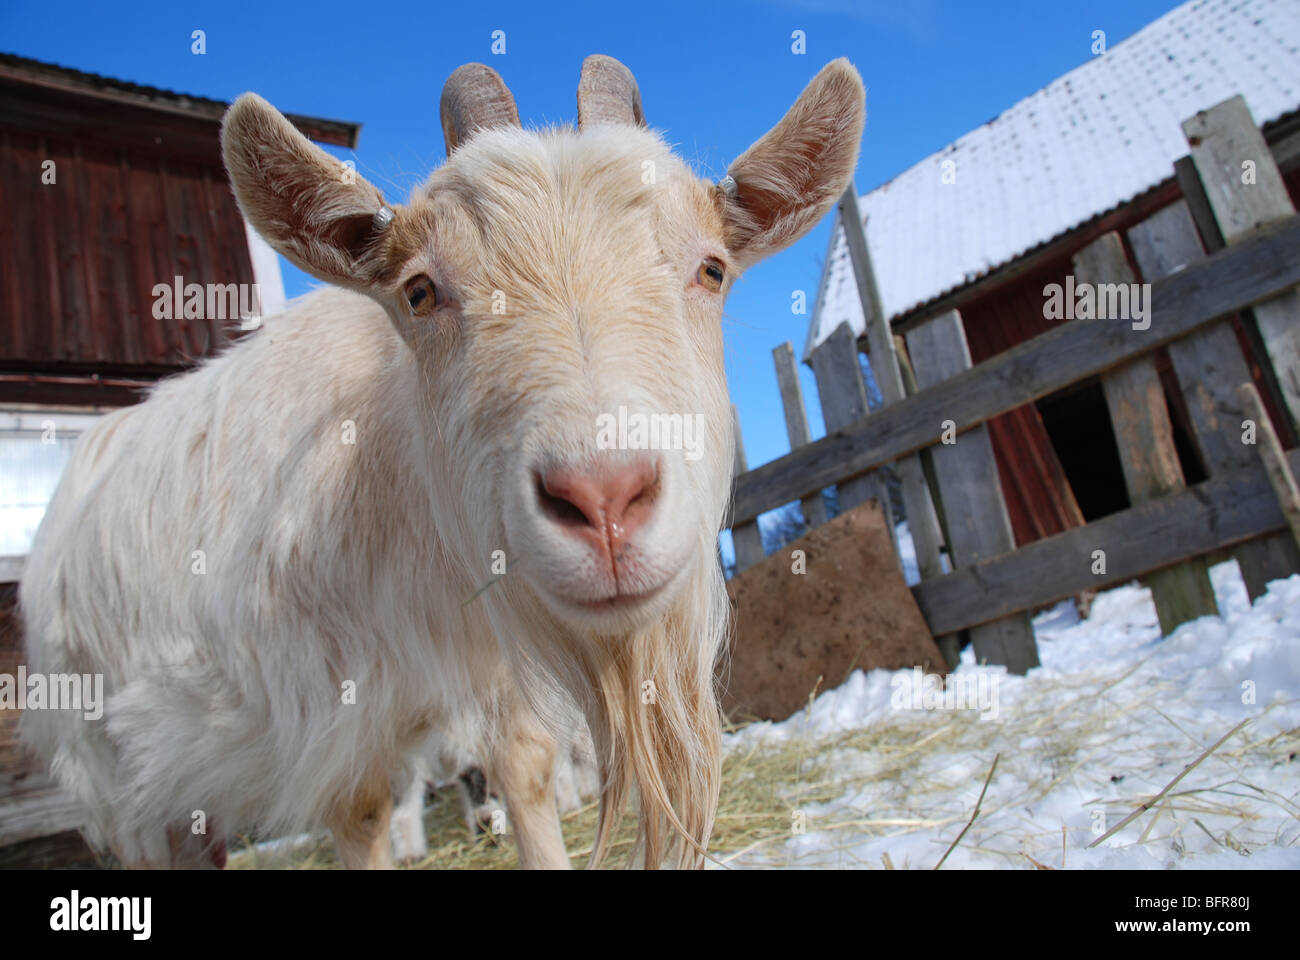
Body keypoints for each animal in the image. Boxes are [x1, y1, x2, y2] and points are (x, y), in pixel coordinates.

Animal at [19, 55, 864, 869]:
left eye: (712, 269)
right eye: (420, 291)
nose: (604, 500)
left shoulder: (493, 651)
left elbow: (523, 763)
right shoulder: (326, 706)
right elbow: (362, 812)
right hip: (110, 766)